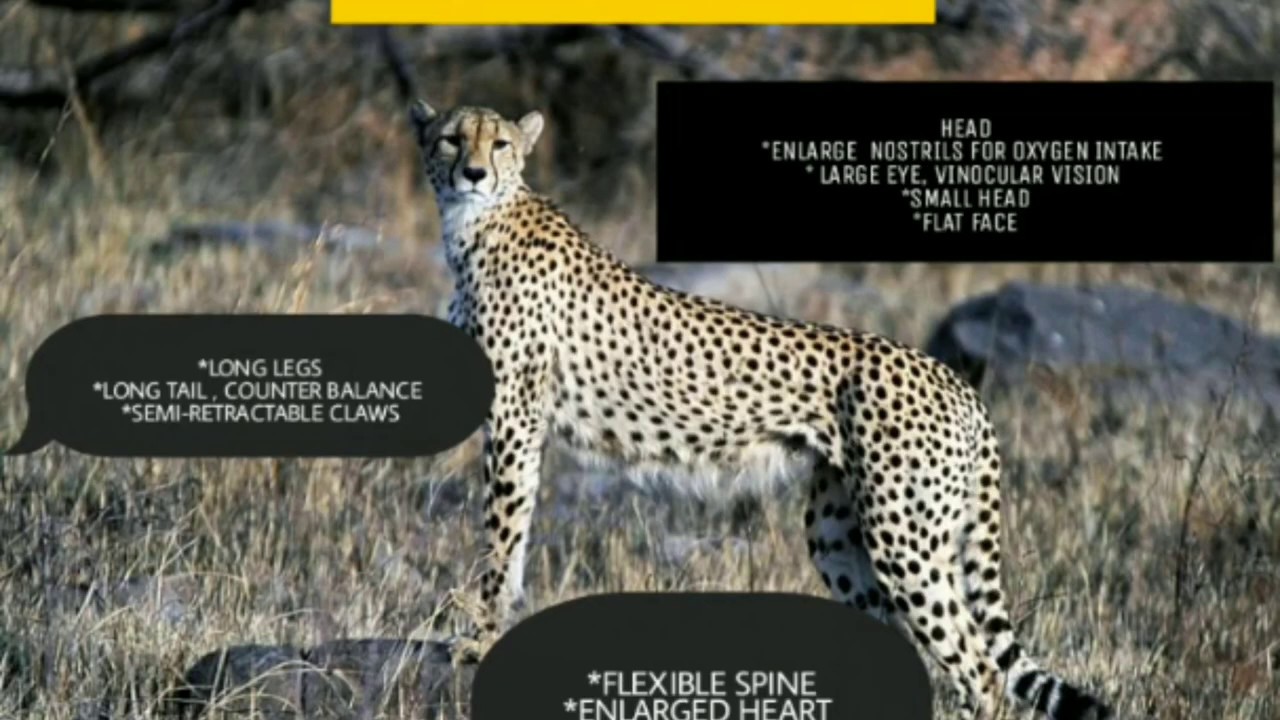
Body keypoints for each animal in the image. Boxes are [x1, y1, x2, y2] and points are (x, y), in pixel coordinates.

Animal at [407, 99, 1114, 720]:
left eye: (499, 144)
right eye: (451, 140)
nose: (473, 173)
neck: (476, 225)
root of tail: (954, 380)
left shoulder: (512, 419)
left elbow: (500, 533)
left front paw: (479, 633)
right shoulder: (520, 425)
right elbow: (516, 529)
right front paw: (491, 624)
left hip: (903, 536)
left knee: (980, 667)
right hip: (839, 531)